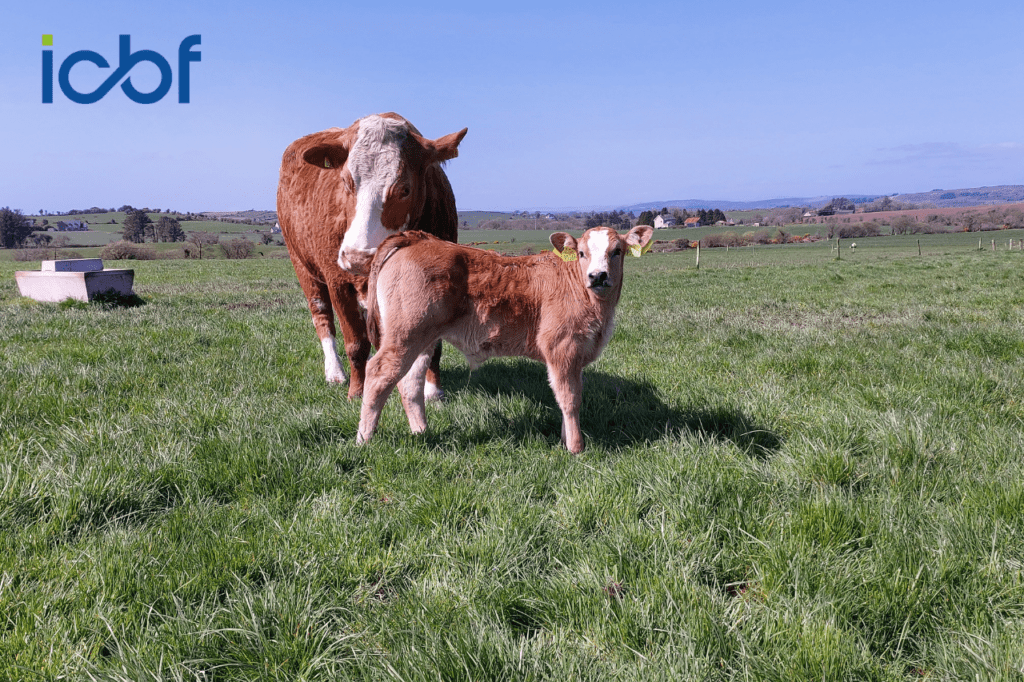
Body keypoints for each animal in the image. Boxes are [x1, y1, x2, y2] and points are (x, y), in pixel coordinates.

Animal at [276, 113, 467, 400]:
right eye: (346, 182)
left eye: (404, 189)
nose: (358, 256)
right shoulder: (338, 283)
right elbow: (356, 342)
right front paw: (357, 391)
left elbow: (432, 345)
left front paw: (433, 391)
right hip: (302, 265)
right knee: (322, 316)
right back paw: (335, 372)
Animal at [355, 225, 654, 453]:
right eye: (582, 253)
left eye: (617, 251)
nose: (598, 276)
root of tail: (416, 238)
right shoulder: (562, 347)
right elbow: (570, 399)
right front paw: (576, 447)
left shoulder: (575, 355)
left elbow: (566, 395)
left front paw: (565, 438)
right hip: (405, 335)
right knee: (379, 373)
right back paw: (364, 439)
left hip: (423, 340)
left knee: (410, 383)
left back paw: (421, 432)